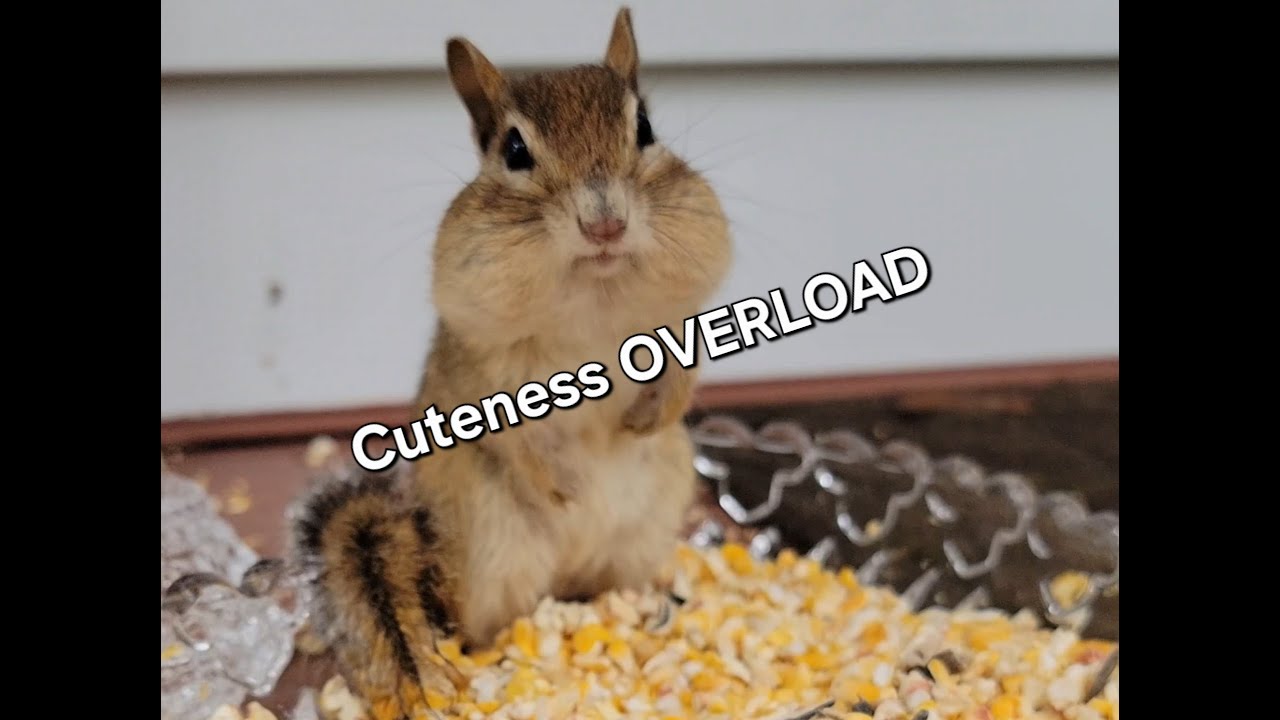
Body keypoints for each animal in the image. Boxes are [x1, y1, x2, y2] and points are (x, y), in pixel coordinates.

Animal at [291, 7, 731, 718]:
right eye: (515, 151)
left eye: (645, 127)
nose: (604, 225)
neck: (593, 291)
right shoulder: (484, 357)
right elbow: (505, 417)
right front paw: (558, 485)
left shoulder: (685, 313)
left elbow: (685, 367)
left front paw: (652, 413)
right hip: (493, 553)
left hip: (645, 526)